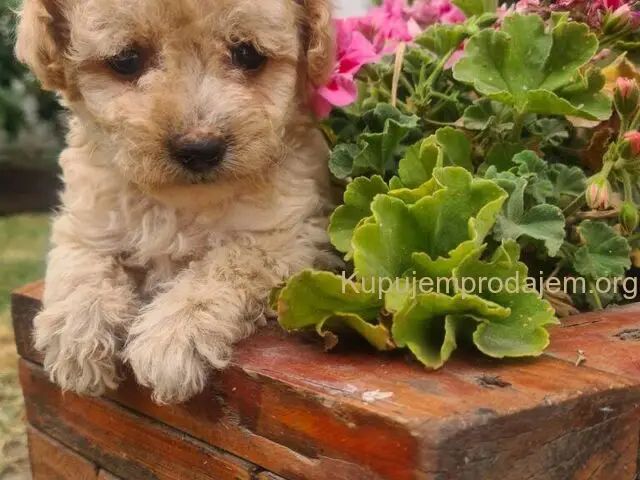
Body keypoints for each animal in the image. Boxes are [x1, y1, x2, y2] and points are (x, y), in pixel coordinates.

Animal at [13, 0, 336, 404]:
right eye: (126, 60)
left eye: (248, 54)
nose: (200, 148)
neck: (178, 204)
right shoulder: (87, 216)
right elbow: (80, 263)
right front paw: (78, 333)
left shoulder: (288, 235)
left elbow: (223, 266)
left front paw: (173, 337)